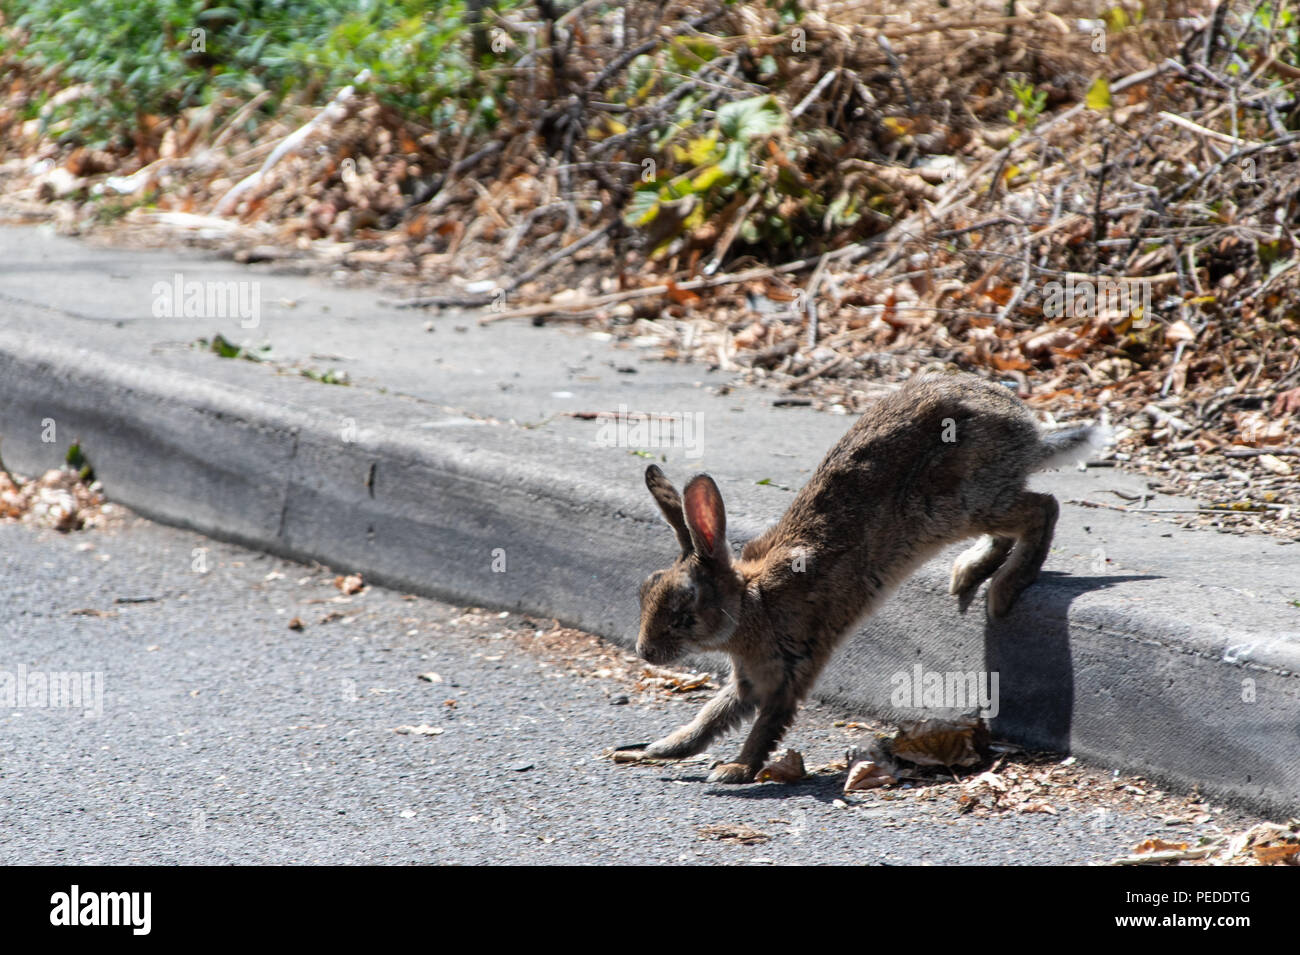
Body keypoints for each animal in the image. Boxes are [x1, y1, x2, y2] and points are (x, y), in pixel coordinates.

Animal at [631, 370, 1107, 784]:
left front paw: (735, 770)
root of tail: (1027, 429)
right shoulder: (749, 680)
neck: (754, 602)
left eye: (685, 607)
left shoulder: (790, 670)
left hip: (958, 503)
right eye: (646, 589)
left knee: (1043, 507)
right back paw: (969, 572)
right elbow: (712, 715)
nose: (645, 652)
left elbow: (765, 728)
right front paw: (664, 748)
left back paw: (1004, 589)